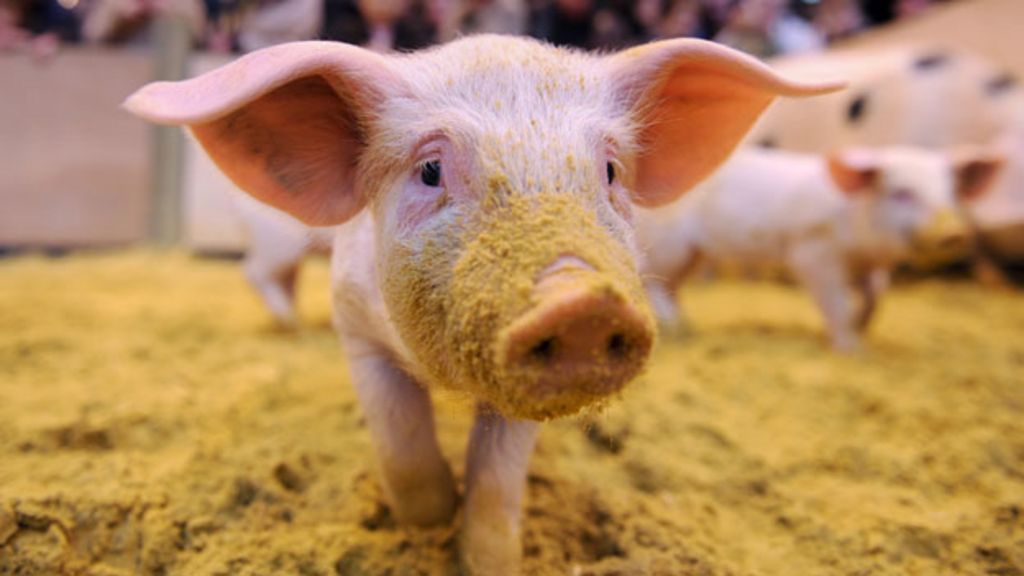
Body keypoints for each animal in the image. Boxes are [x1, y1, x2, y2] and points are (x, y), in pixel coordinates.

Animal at [124, 35, 840, 573]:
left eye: (609, 171)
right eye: (430, 170)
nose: (580, 303)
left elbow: (498, 487)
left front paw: (483, 552)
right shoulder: (357, 330)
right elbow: (402, 448)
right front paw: (430, 521)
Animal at [639, 146, 1003, 351]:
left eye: (951, 193)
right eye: (901, 192)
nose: (952, 232)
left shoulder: (870, 266)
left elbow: (875, 298)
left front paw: (861, 329)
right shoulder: (812, 253)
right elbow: (836, 301)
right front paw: (850, 348)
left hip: (692, 254)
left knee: (671, 287)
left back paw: (686, 327)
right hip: (669, 244)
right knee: (653, 283)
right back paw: (677, 329)